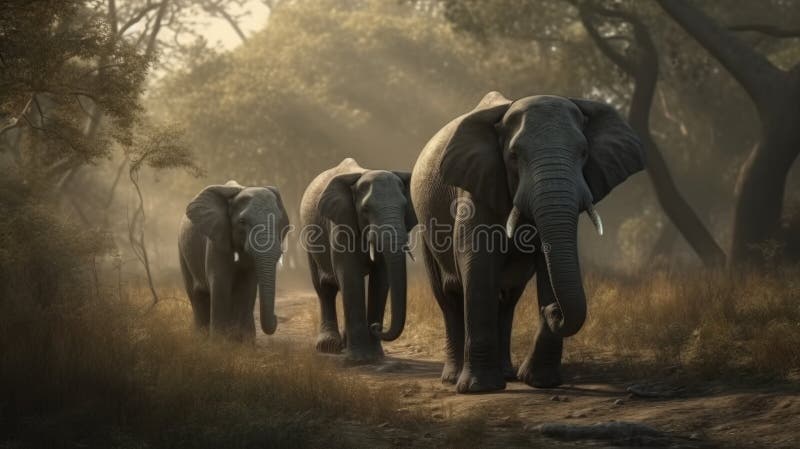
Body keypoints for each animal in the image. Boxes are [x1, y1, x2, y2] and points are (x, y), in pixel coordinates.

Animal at [179, 180, 290, 341]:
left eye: (280, 221)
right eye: (242, 221)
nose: (276, 318)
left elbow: (247, 287)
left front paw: (244, 343)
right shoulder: (217, 239)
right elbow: (220, 283)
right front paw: (219, 343)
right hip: (182, 251)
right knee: (196, 294)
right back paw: (201, 338)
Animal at [300, 158, 416, 363]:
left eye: (404, 208)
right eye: (366, 209)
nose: (377, 326)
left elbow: (381, 279)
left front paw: (375, 356)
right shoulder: (341, 224)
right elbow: (349, 275)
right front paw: (361, 359)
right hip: (309, 238)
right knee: (324, 288)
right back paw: (329, 346)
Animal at [410, 92, 645, 393]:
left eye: (583, 153)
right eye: (513, 156)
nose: (553, 311)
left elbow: (547, 265)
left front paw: (541, 383)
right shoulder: (476, 188)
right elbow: (478, 263)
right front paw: (480, 389)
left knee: (507, 300)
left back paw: (507, 374)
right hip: (426, 231)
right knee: (448, 297)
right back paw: (452, 378)